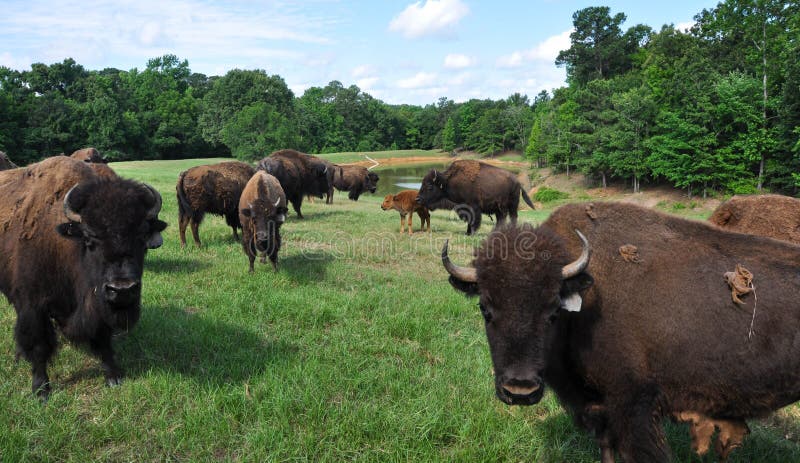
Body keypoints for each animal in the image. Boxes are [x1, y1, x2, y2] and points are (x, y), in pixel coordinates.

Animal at [0, 156, 166, 398]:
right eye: (90, 238)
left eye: (143, 235)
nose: (122, 289)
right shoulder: (32, 306)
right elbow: (39, 346)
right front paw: (41, 389)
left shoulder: (97, 303)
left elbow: (102, 339)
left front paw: (113, 376)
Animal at [443, 201, 800, 462]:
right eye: (485, 308)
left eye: (553, 311)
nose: (519, 390)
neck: (588, 296)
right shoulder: (601, 409)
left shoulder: (634, 406)